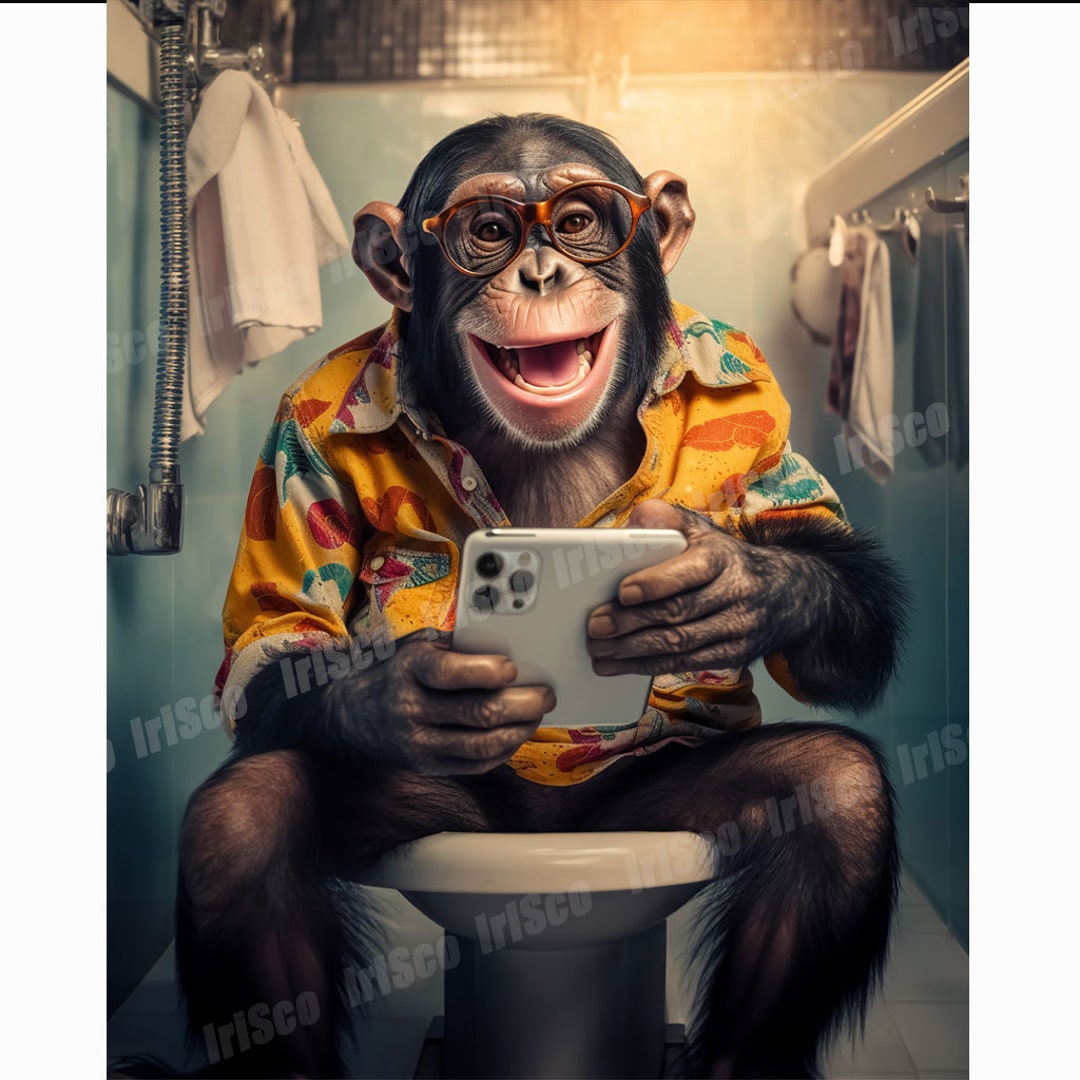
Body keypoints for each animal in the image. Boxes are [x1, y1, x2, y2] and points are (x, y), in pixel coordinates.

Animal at [173, 113, 909, 1079]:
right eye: (488, 230)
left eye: (579, 219)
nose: (542, 270)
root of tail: (550, 851)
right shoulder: (301, 424)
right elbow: (279, 640)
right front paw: (407, 696)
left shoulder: (748, 372)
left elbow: (820, 557)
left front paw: (734, 587)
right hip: (463, 832)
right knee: (242, 824)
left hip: (638, 816)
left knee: (836, 795)